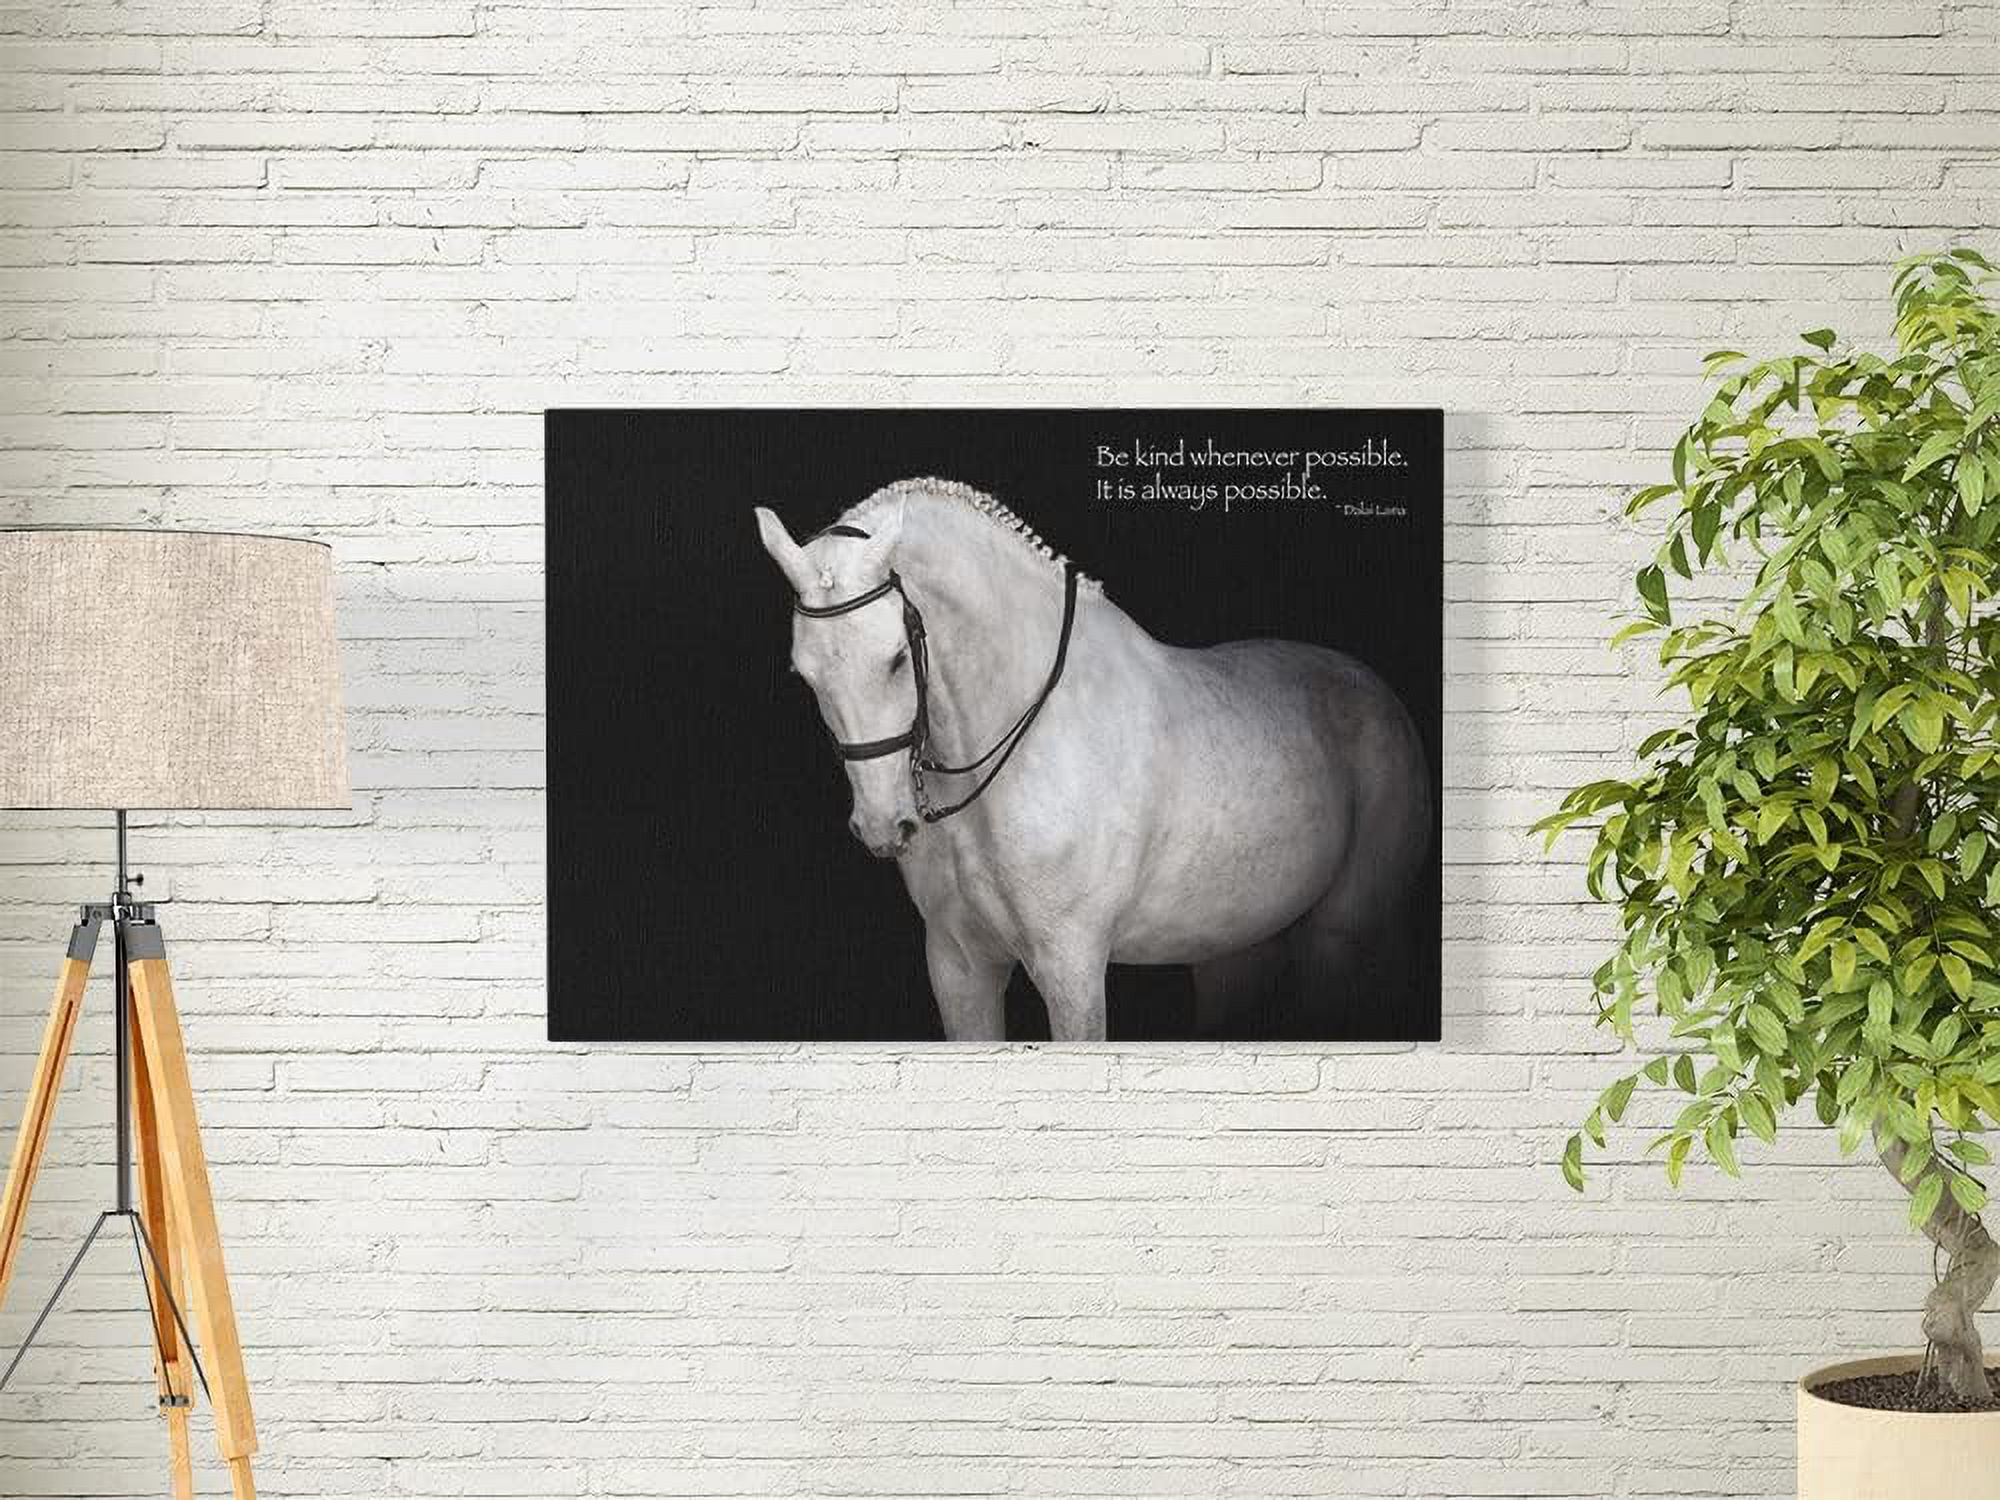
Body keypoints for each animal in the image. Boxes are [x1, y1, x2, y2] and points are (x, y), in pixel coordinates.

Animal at [754, 478, 1431, 1042]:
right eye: (802, 674)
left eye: (897, 658)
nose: (882, 826)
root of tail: (1375, 691)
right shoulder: (958, 966)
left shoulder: (1071, 964)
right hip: (1237, 946)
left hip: (1344, 937)